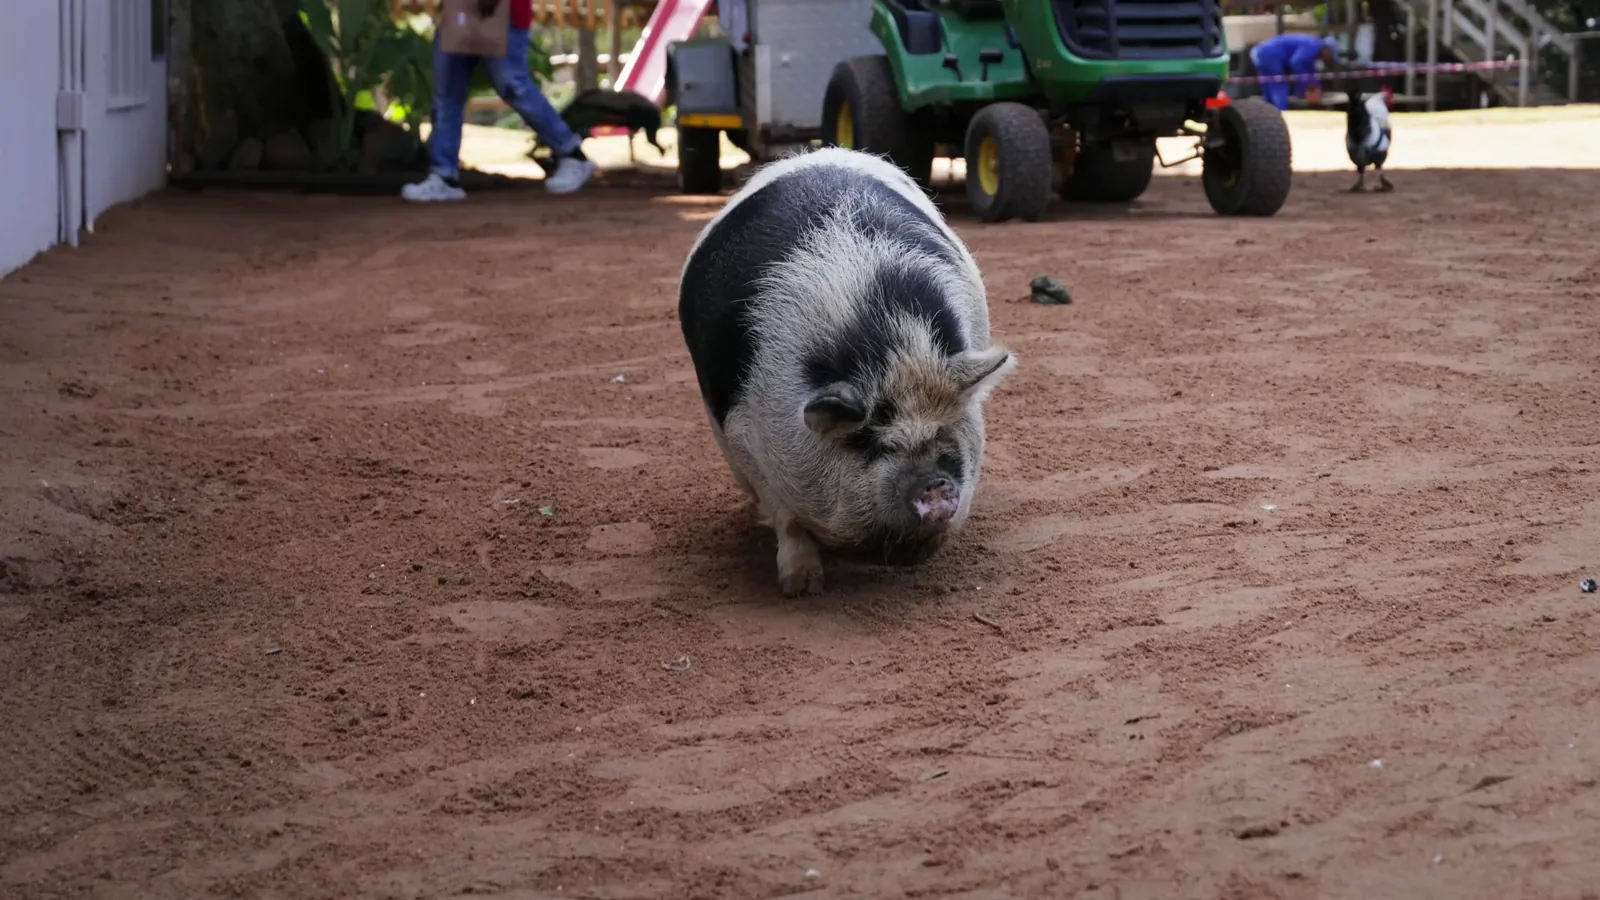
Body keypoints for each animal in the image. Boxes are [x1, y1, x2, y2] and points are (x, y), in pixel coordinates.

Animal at [677, 146, 1016, 596]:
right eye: (873, 444)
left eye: (943, 436)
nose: (935, 486)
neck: (894, 349)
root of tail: (817, 153)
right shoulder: (744, 434)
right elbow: (787, 517)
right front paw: (801, 588)